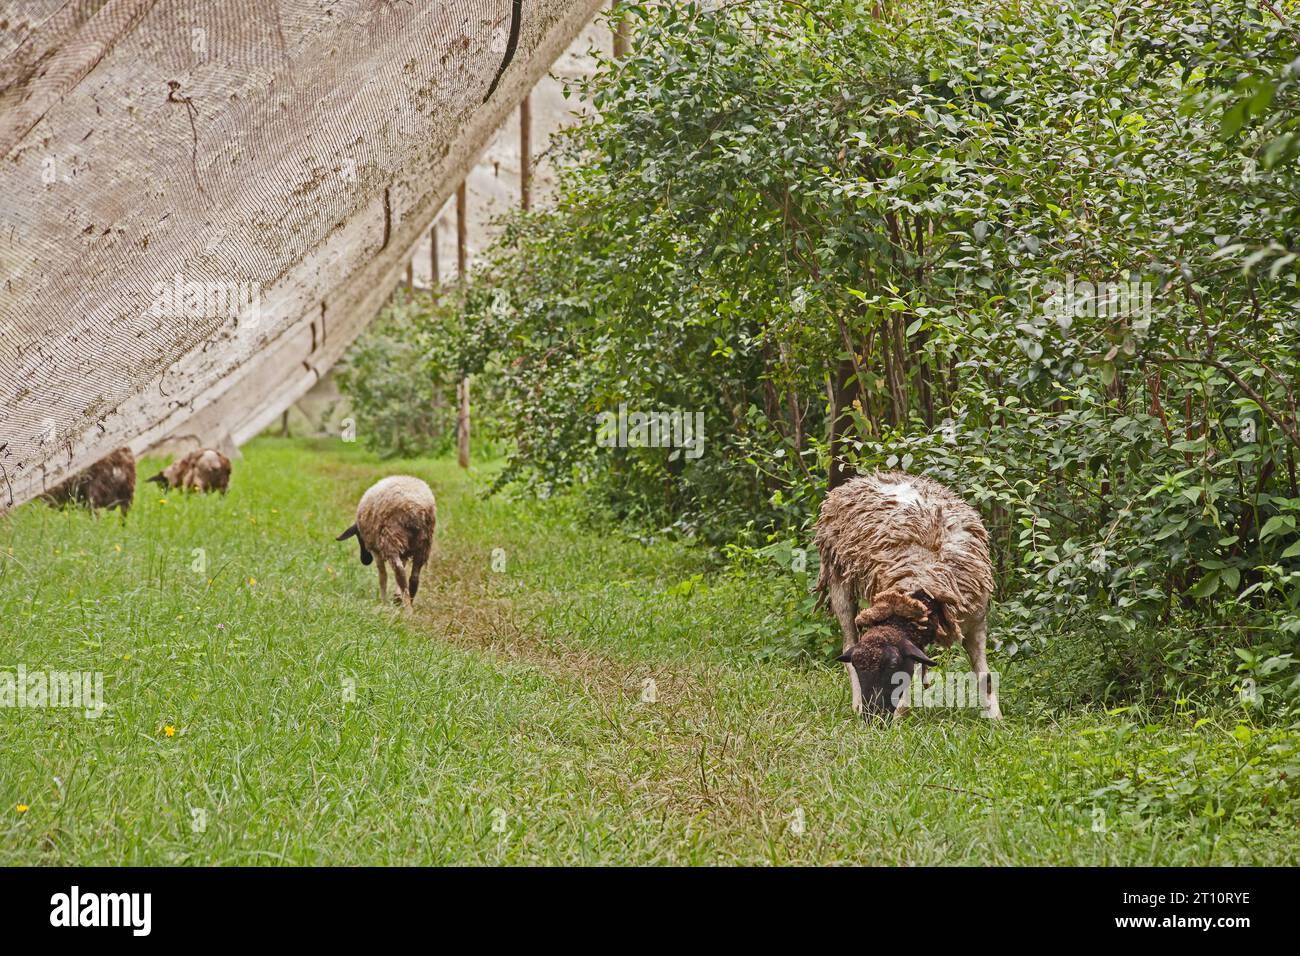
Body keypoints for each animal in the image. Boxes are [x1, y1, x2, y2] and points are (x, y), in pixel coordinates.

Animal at [336, 476, 436, 608]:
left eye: (359, 537)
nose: (365, 561)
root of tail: (414, 508)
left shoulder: (376, 549)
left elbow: (383, 575)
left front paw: (383, 602)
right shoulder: (403, 551)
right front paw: (396, 597)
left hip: (391, 539)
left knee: (400, 573)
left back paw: (406, 607)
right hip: (423, 545)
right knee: (414, 577)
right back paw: (409, 600)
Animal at [814, 470, 1000, 719]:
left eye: (893, 665)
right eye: (860, 666)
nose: (872, 717)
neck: (928, 589)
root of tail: (862, 478)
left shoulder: (975, 622)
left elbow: (985, 677)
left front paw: (995, 718)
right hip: (838, 580)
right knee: (847, 642)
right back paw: (856, 704)